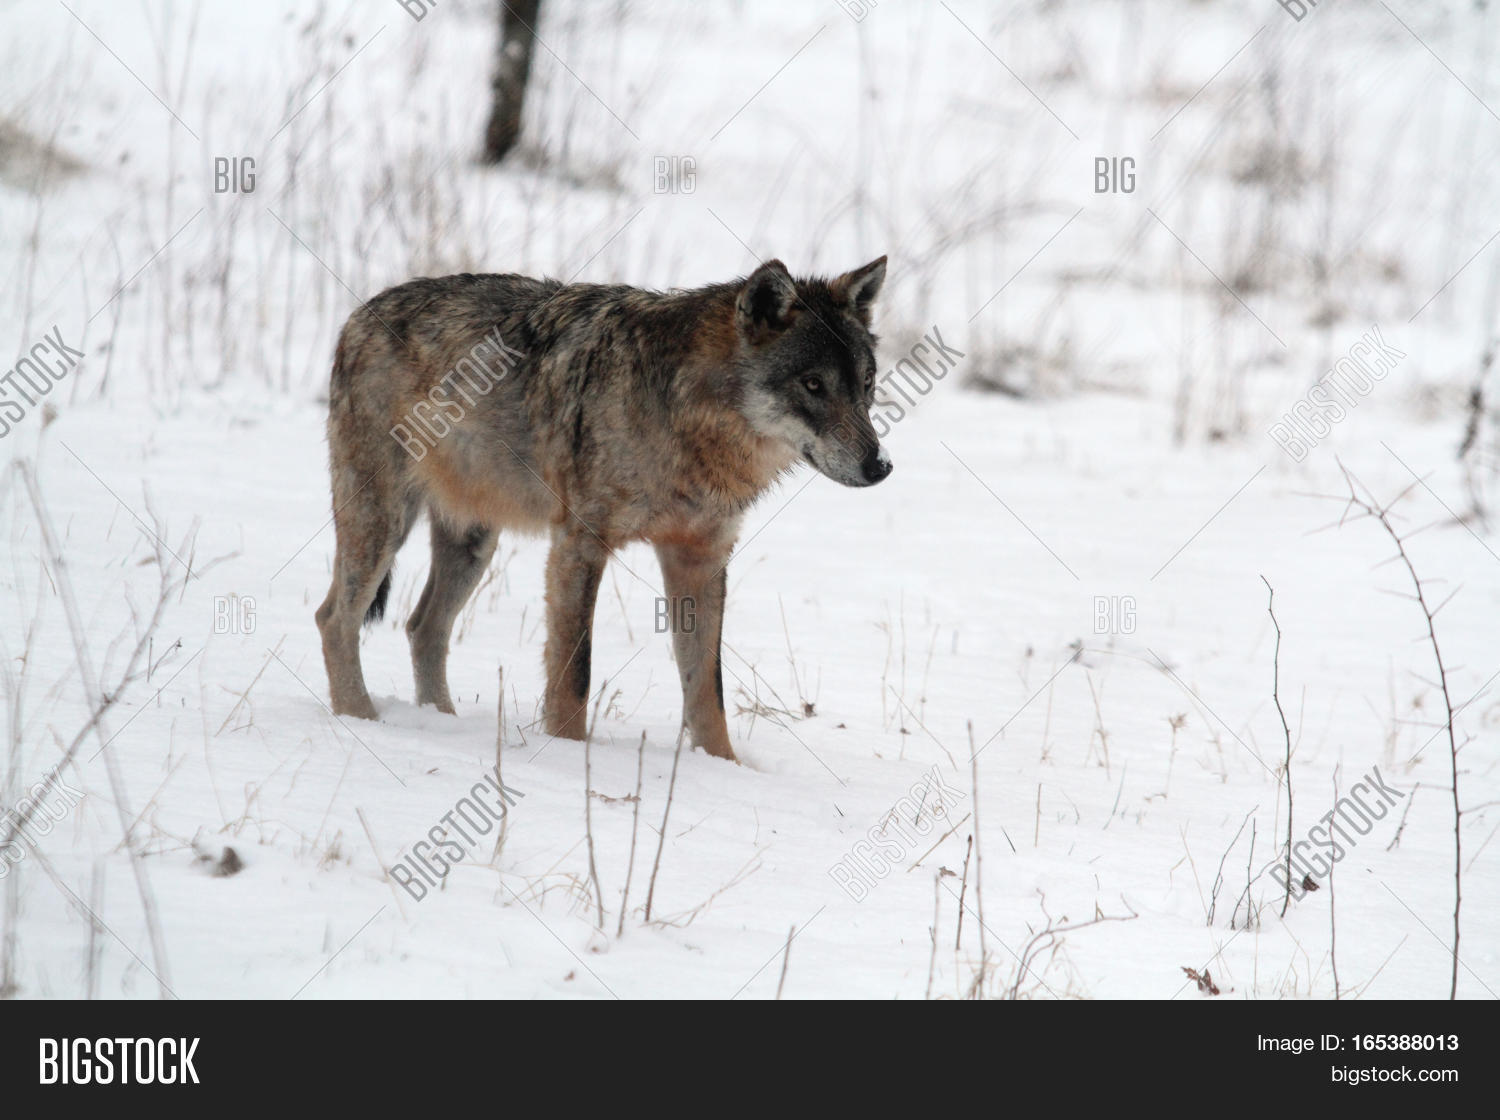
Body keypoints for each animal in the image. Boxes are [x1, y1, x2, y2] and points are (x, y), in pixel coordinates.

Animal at [315, 256, 891, 763]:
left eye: (865, 384)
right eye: (812, 384)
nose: (880, 465)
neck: (690, 425)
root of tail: (357, 316)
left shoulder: (702, 559)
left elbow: (707, 690)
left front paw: (724, 769)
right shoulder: (579, 546)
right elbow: (576, 673)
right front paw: (569, 756)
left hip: (473, 545)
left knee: (422, 629)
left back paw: (441, 724)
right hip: (384, 523)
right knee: (335, 619)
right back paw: (361, 720)